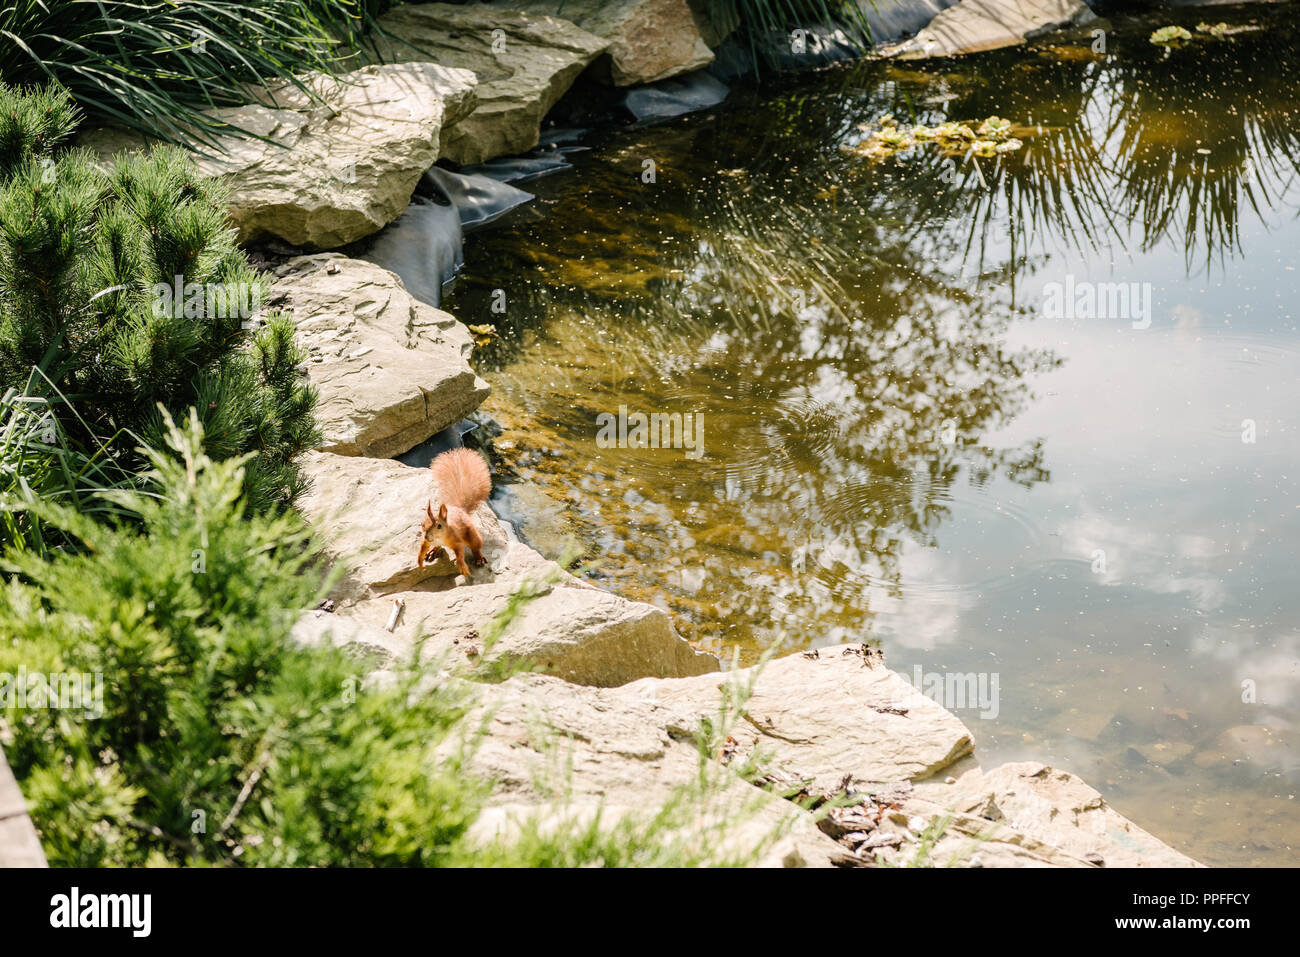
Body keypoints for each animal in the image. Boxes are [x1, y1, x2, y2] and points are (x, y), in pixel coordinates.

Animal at [417, 447, 492, 578]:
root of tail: (460, 509)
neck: (439, 538)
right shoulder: (425, 542)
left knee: (476, 546)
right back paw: (433, 551)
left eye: (439, 526)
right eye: (422, 524)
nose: (427, 536)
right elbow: (422, 548)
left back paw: (478, 558)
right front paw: (420, 561)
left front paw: (462, 566)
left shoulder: (456, 539)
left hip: (471, 534)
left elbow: (460, 552)